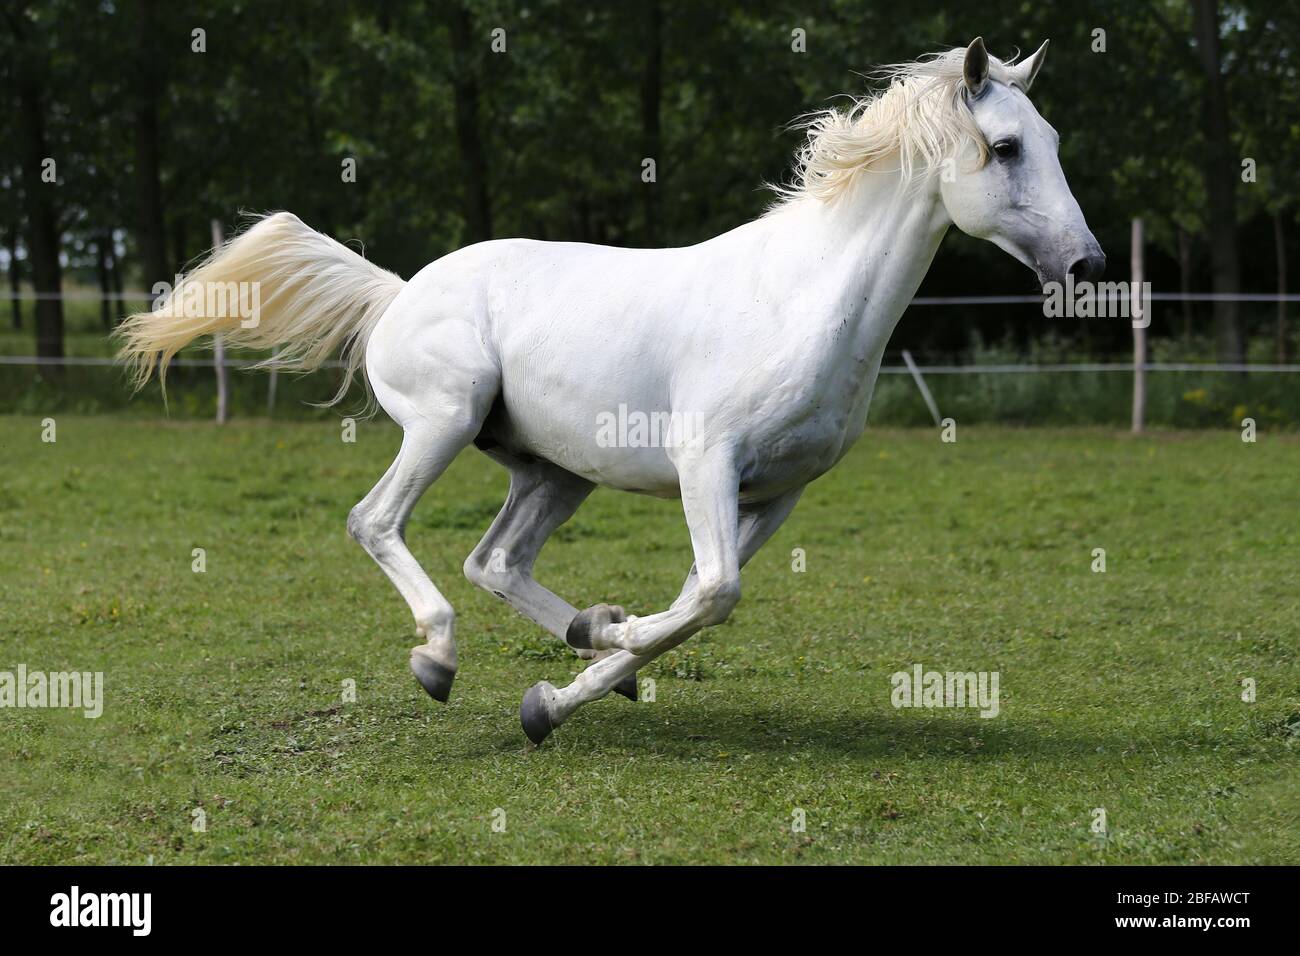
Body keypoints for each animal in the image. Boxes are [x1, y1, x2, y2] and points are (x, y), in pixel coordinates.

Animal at [117, 38, 1103, 745]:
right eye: (1004, 147)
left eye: (1055, 143)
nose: (1087, 265)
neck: (802, 299)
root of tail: (398, 292)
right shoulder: (707, 461)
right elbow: (711, 596)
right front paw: (610, 645)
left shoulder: (776, 494)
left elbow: (698, 601)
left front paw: (559, 695)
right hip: (443, 420)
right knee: (378, 523)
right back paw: (441, 657)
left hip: (555, 471)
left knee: (496, 561)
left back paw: (578, 634)